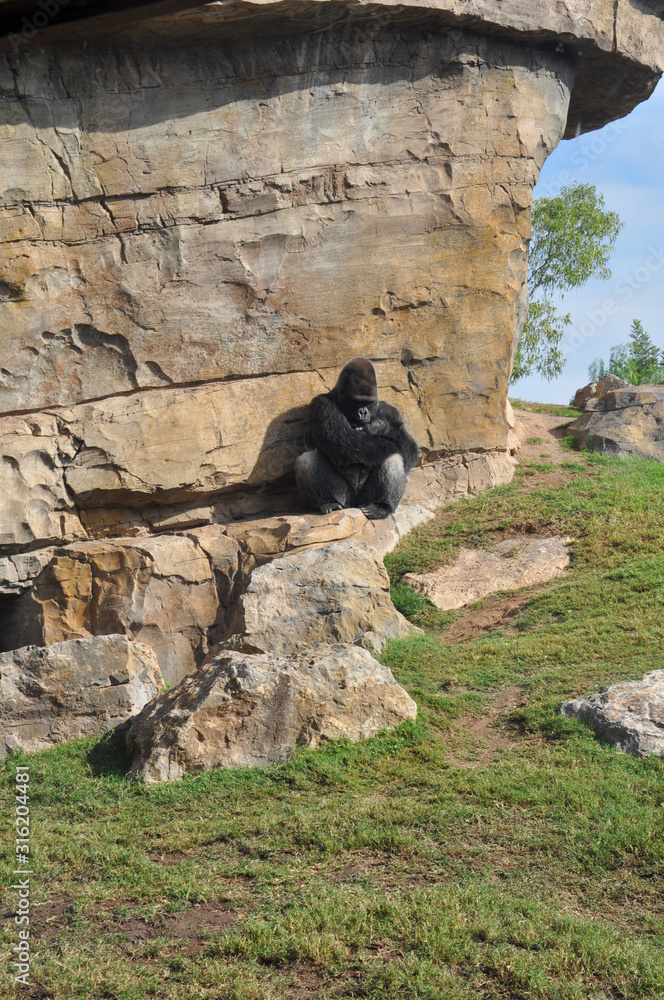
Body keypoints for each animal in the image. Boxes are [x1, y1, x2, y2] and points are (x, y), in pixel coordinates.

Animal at [295, 357, 419, 520]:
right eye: (357, 402)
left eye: (368, 402)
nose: (363, 412)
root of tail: (354, 504)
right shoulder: (321, 405)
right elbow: (346, 445)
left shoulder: (391, 411)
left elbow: (408, 447)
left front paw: (379, 426)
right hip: (344, 497)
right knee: (306, 459)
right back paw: (328, 502)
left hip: (365, 498)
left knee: (393, 455)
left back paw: (381, 506)